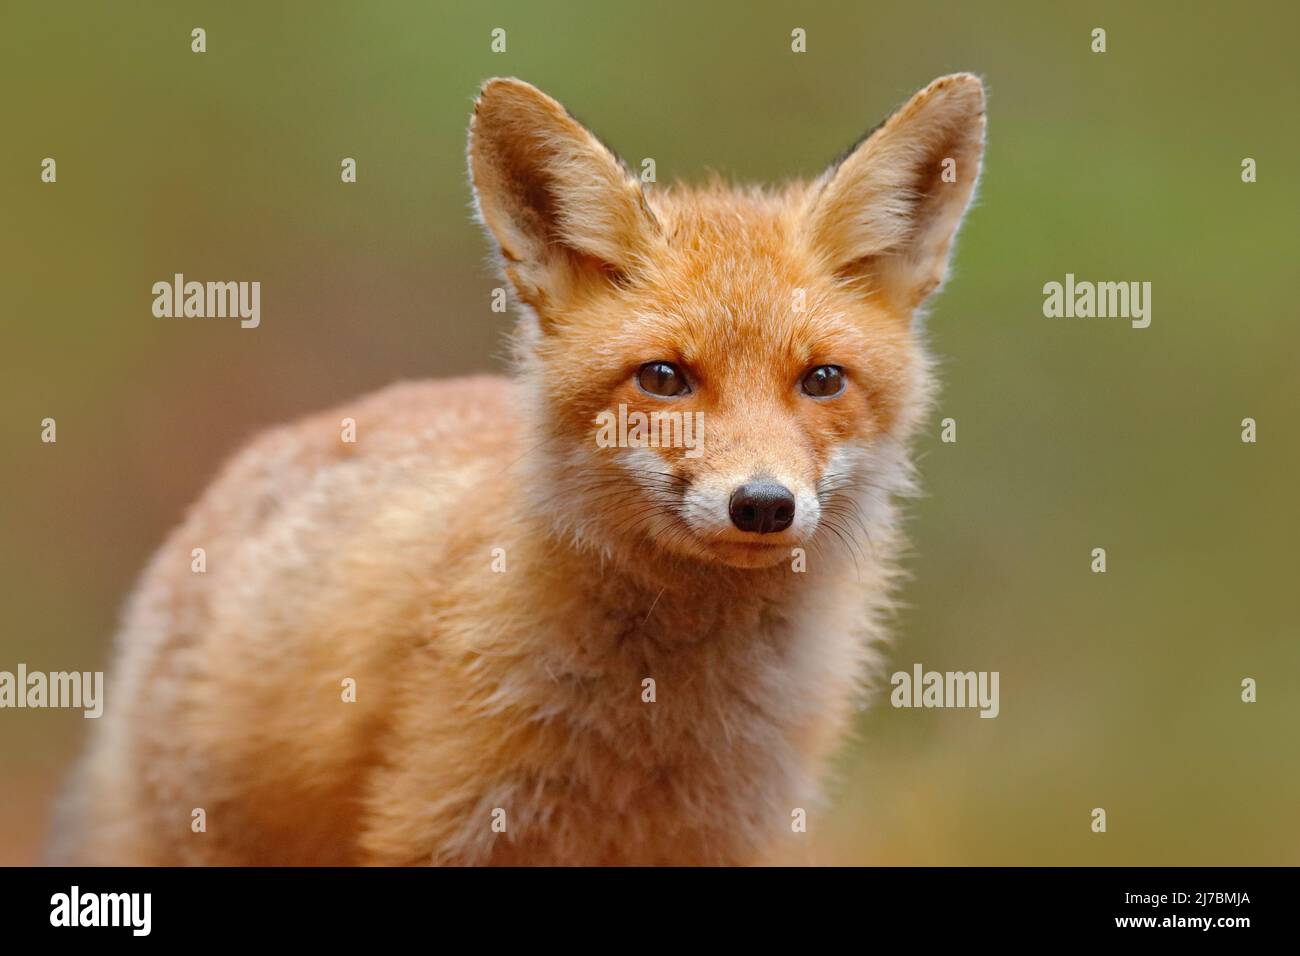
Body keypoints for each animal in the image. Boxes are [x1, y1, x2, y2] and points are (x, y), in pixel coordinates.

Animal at [51, 73, 985, 866]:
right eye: (663, 377)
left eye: (822, 380)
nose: (762, 504)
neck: (663, 721)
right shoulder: (448, 823)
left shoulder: (730, 836)